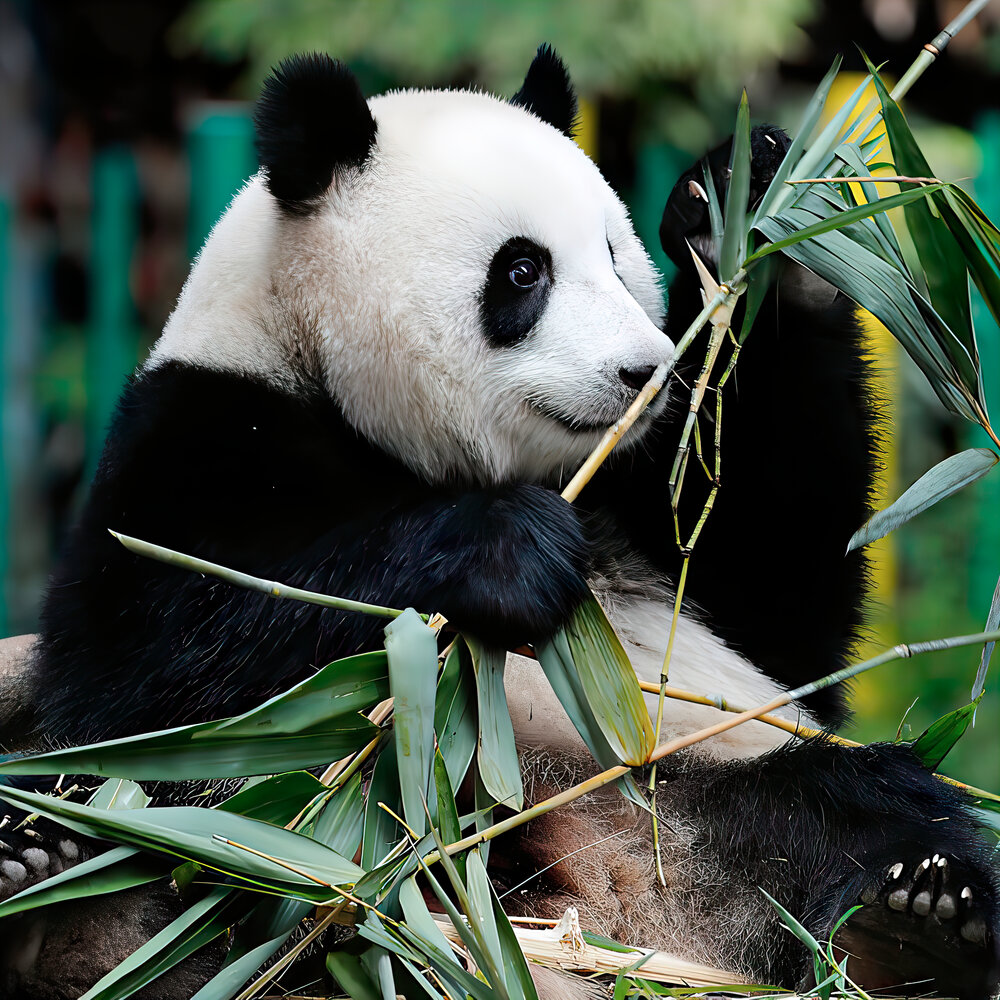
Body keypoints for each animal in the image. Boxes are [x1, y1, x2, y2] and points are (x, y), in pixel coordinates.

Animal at [1, 43, 1000, 1000]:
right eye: (523, 271)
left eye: (614, 256)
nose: (645, 372)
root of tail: (605, 918)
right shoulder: (192, 435)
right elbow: (161, 659)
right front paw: (509, 550)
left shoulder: (649, 492)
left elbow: (783, 612)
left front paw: (756, 211)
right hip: (296, 848)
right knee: (165, 832)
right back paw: (54, 898)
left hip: (703, 791)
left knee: (865, 805)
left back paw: (916, 924)